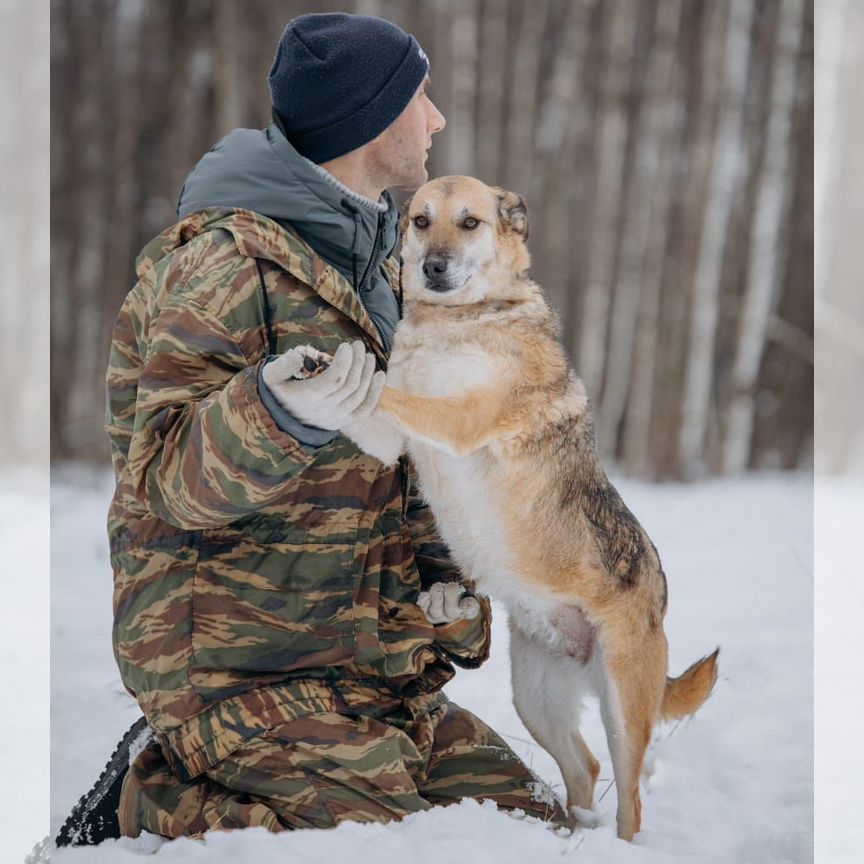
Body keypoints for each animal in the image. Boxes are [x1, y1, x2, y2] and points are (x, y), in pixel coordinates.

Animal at [334, 172, 720, 840]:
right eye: (421, 220)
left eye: (470, 222)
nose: (433, 268)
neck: (456, 322)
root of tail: (658, 599)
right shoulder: (395, 439)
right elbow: (380, 397)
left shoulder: (460, 417)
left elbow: (391, 390)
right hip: (535, 699)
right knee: (584, 767)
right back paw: (570, 831)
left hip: (623, 711)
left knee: (629, 799)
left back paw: (613, 844)